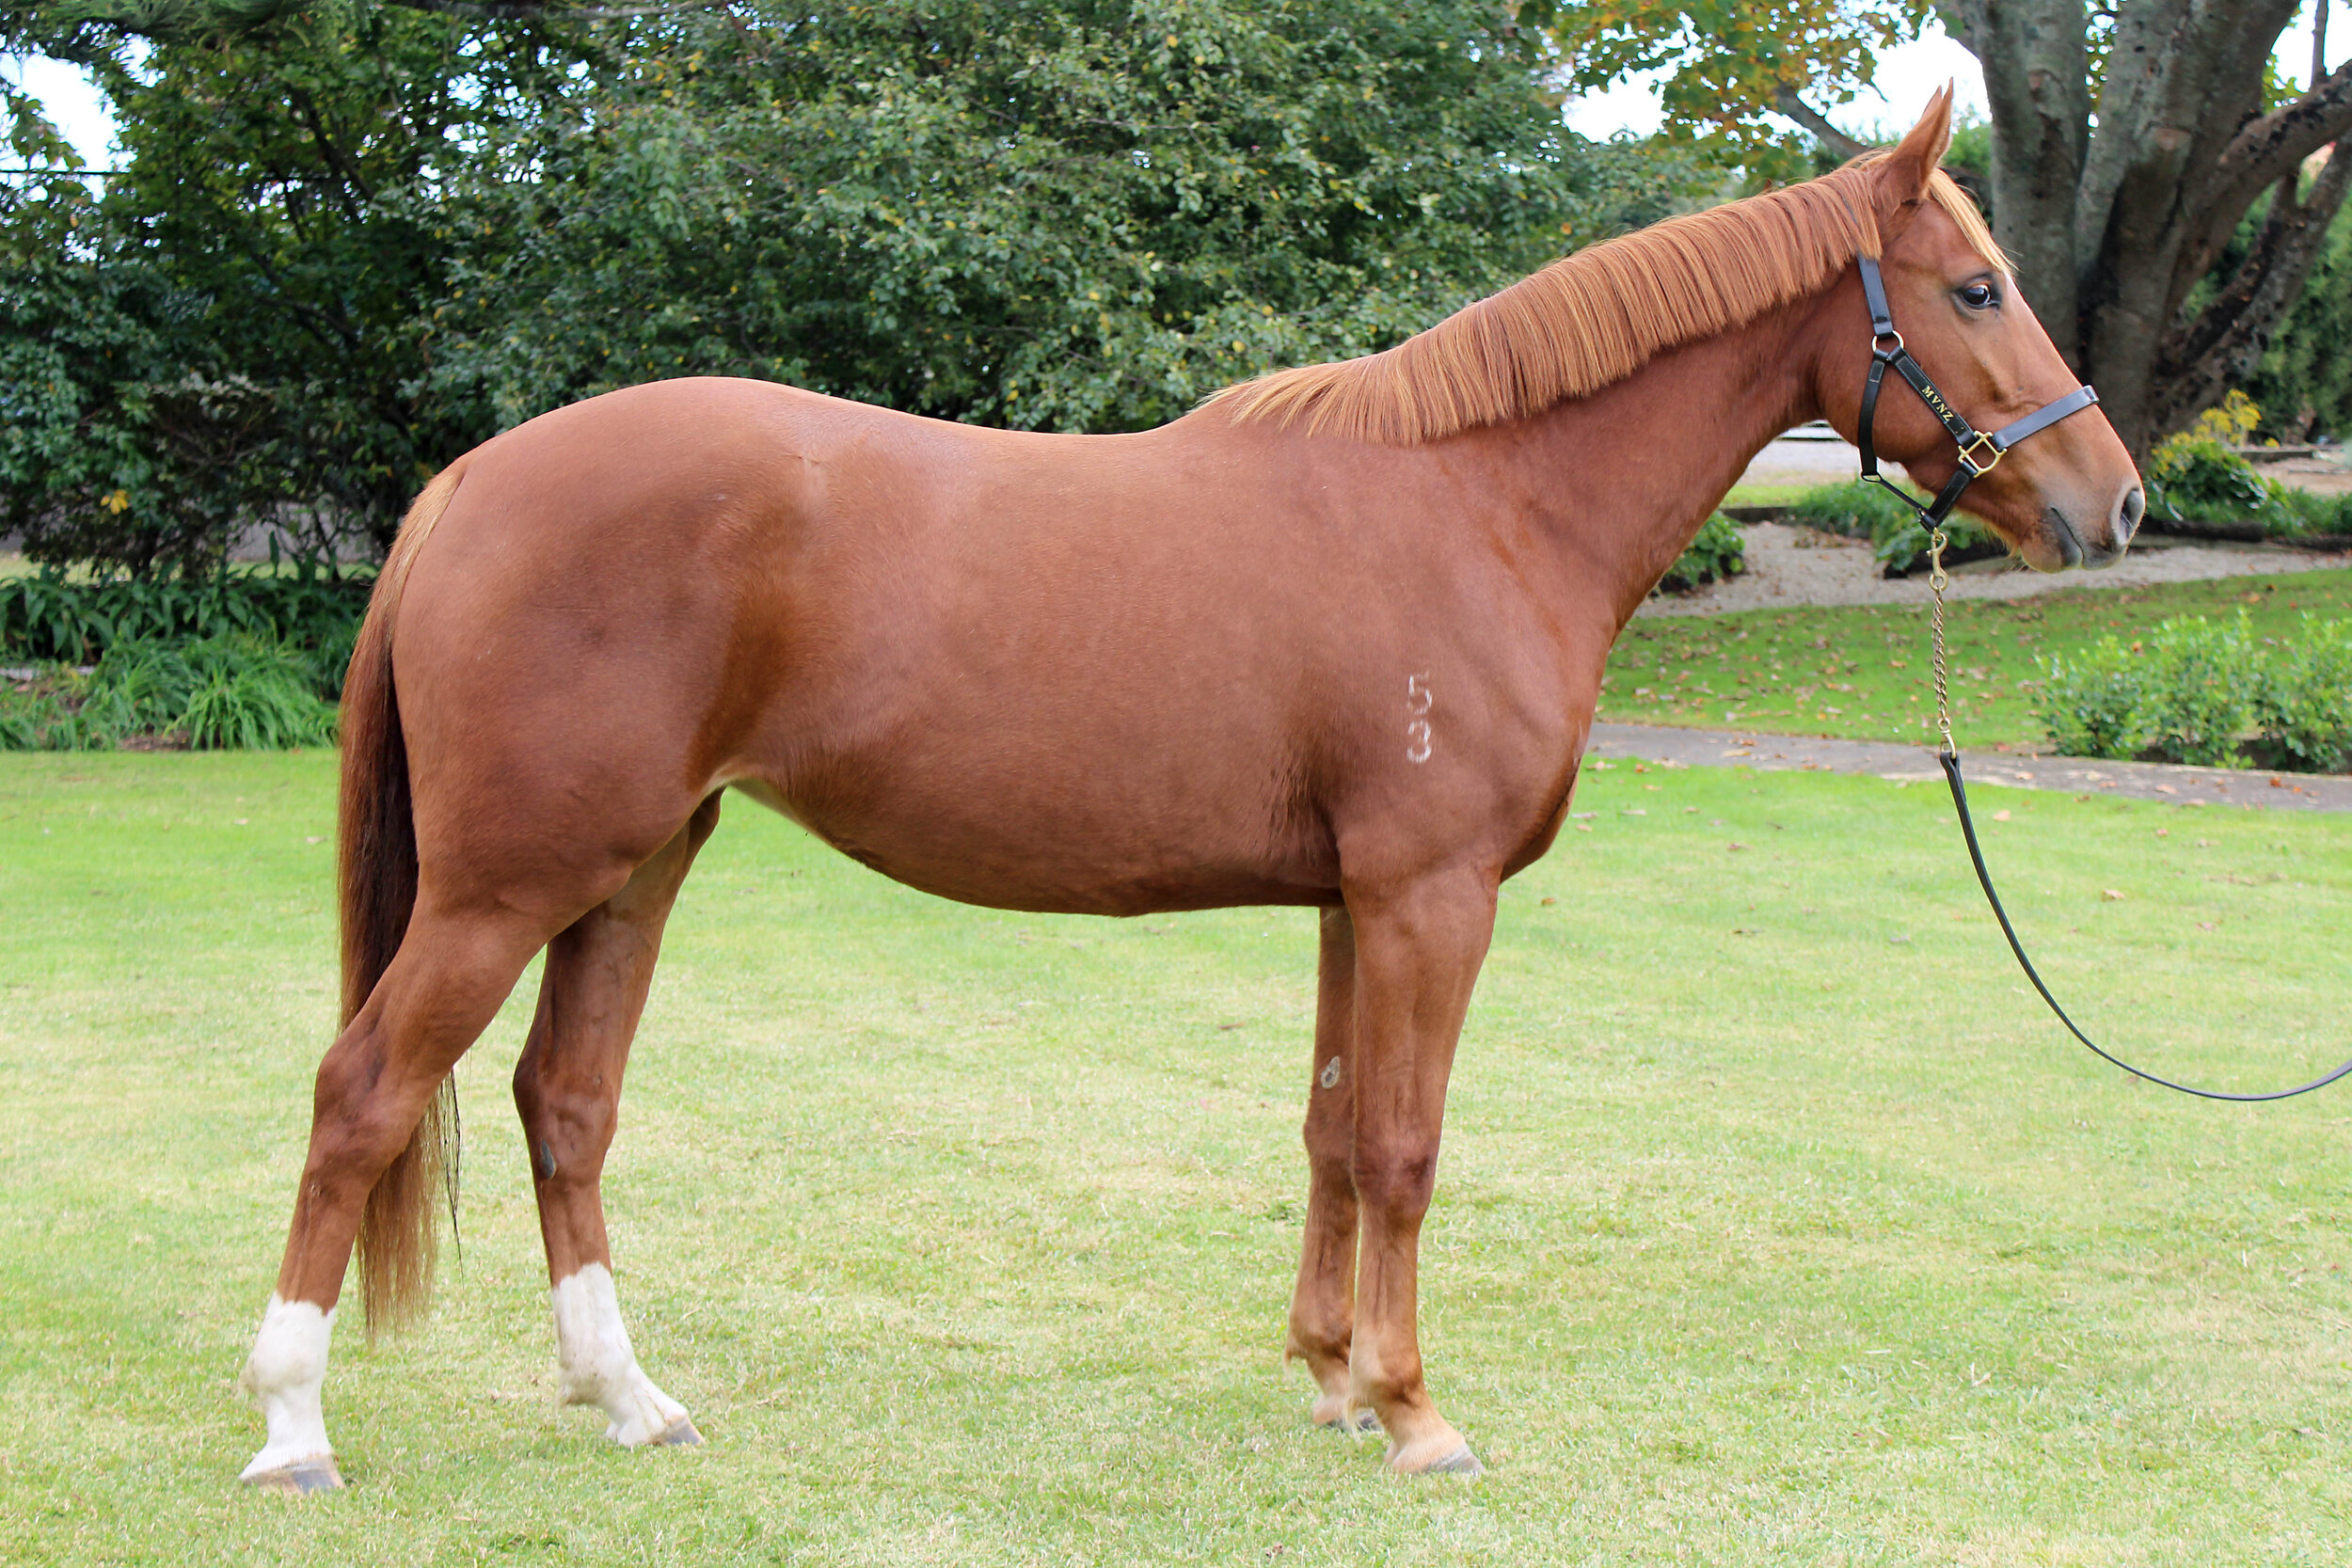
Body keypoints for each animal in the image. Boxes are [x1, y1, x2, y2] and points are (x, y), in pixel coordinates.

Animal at [236, 92, 2143, 1493]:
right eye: (1976, 288)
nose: (2113, 501)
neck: (1482, 505)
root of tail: (471, 479)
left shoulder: (1353, 901)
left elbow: (1331, 1131)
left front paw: (1332, 1378)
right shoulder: (1431, 899)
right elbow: (1406, 1145)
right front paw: (1418, 1411)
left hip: (630, 868)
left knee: (565, 1104)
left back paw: (629, 1397)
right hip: (507, 887)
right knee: (361, 1092)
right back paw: (294, 1425)